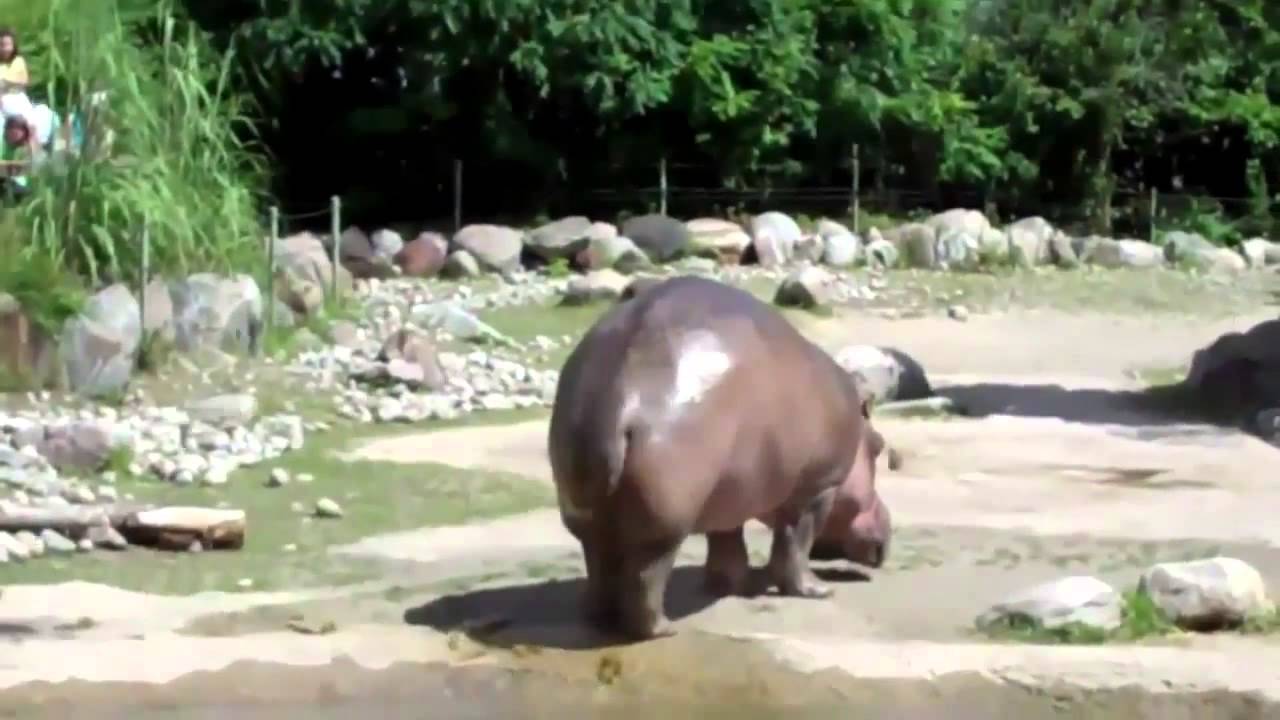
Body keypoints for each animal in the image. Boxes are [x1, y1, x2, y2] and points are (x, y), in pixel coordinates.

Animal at [547, 275, 890, 640]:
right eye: (879, 446)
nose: (887, 526)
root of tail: (620, 396)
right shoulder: (817, 489)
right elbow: (796, 544)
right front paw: (818, 590)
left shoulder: (731, 493)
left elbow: (727, 542)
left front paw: (733, 584)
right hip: (664, 522)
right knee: (646, 574)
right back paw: (664, 629)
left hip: (586, 512)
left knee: (600, 561)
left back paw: (599, 617)